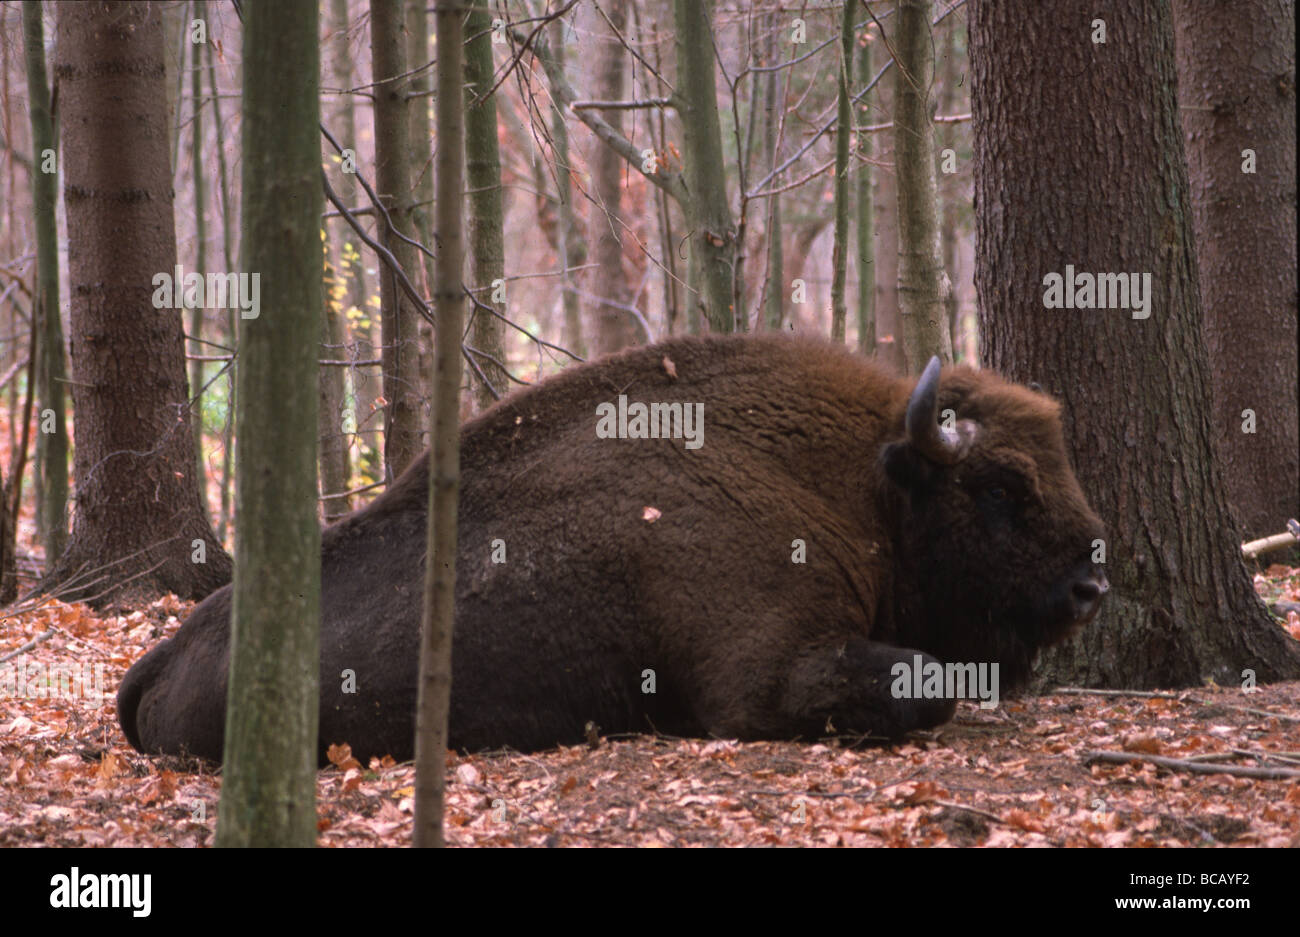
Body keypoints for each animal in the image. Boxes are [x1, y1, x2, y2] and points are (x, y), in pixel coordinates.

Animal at [117, 333, 1107, 763]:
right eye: (1000, 488)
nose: (1089, 584)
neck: (855, 480)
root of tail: (163, 654)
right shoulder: (764, 677)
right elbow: (925, 685)